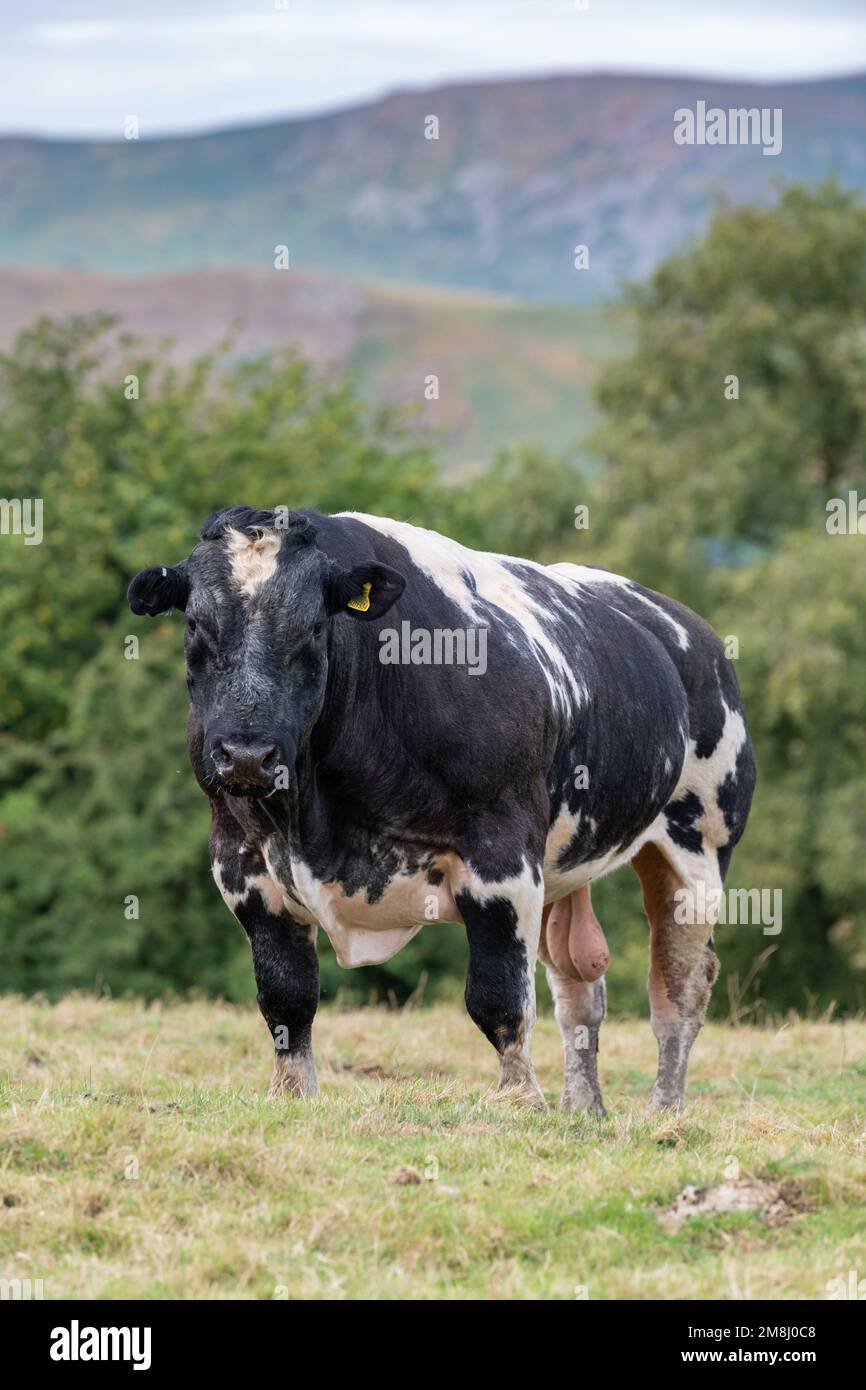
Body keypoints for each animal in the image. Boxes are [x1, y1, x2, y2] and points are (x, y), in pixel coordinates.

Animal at [128, 505, 756, 1114]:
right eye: (194, 624)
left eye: (313, 627)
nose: (246, 755)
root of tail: (688, 628)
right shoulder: (241, 860)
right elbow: (286, 997)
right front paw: (293, 1094)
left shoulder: (502, 853)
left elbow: (498, 996)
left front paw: (519, 1101)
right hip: (568, 862)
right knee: (580, 991)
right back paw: (584, 1111)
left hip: (697, 846)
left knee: (680, 988)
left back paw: (664, 1112)